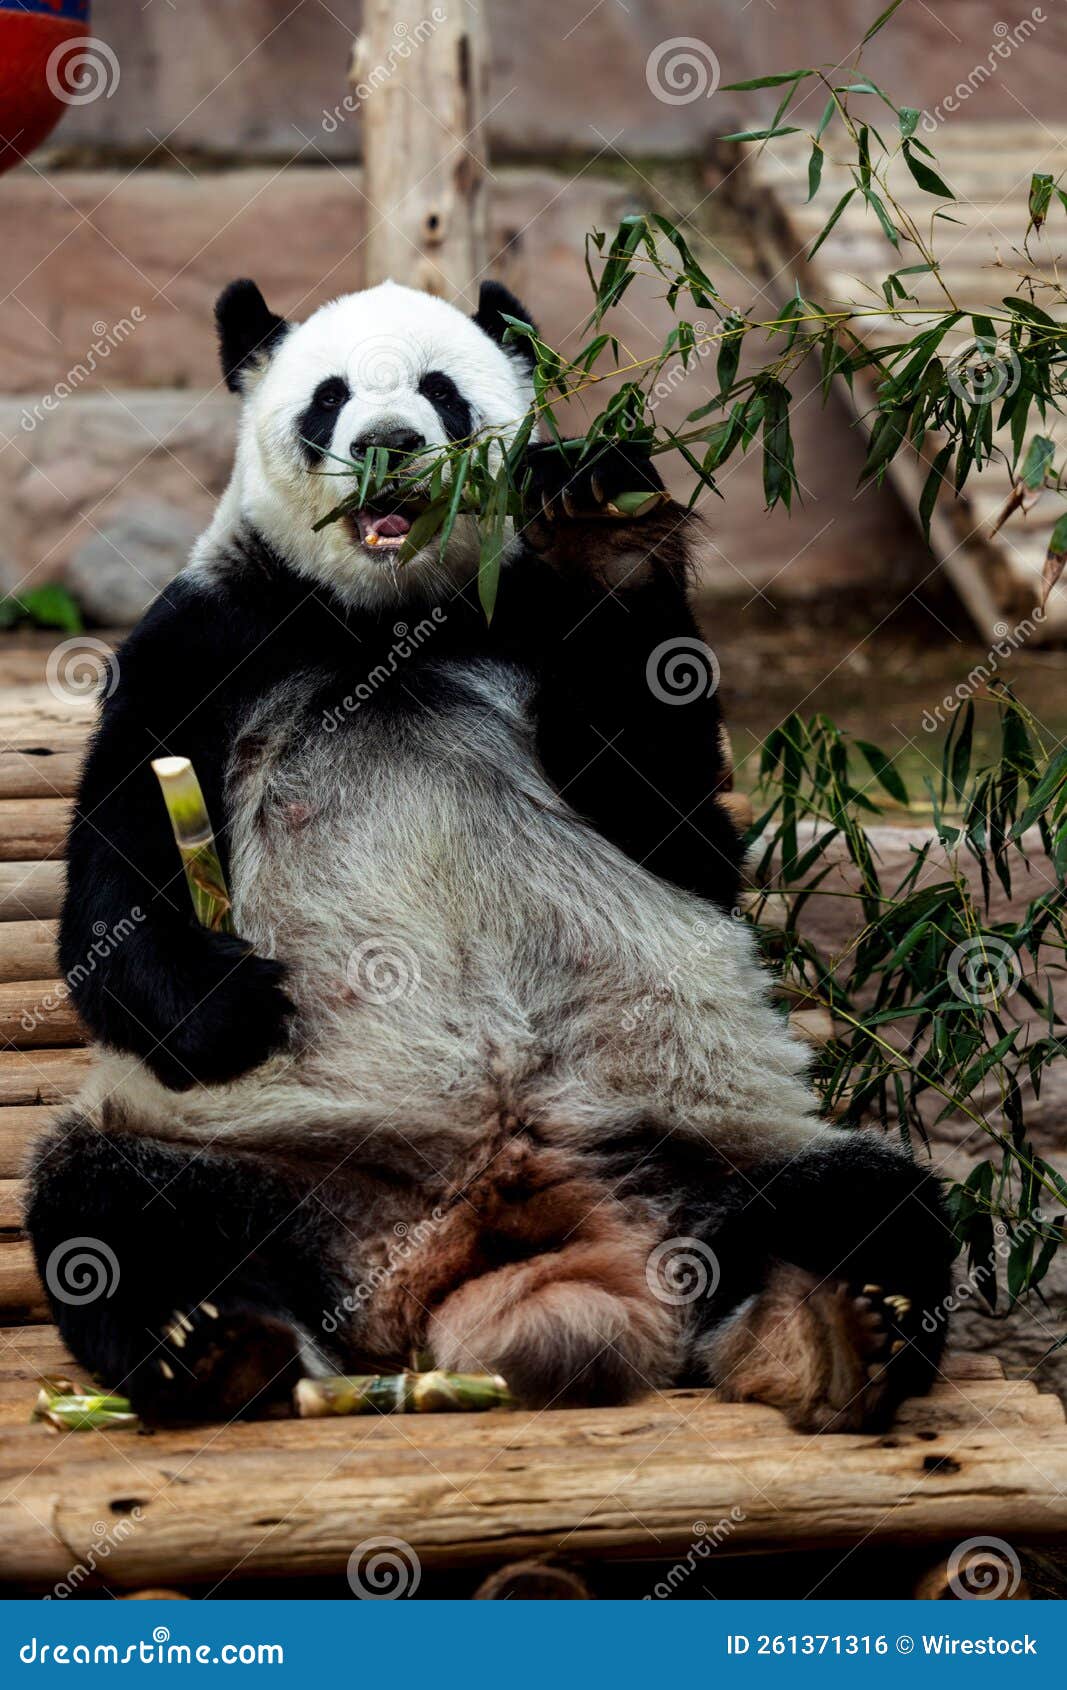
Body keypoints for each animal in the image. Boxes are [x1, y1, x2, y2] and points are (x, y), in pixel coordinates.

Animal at [25, 276, 952, 1429]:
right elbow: (112, 891)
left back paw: (833, 1337)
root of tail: (505, 1231)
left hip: (690, 1143)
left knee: (872, 1199)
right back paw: (210, 1351)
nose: (387, 445)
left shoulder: (531, 625)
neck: (383, 624)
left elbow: (679, 830)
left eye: (441, 393)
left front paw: (601, 527)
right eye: (328, 397)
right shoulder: (207, 637)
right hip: (273, 1154)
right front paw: (229, 1003)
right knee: (105, 1205)